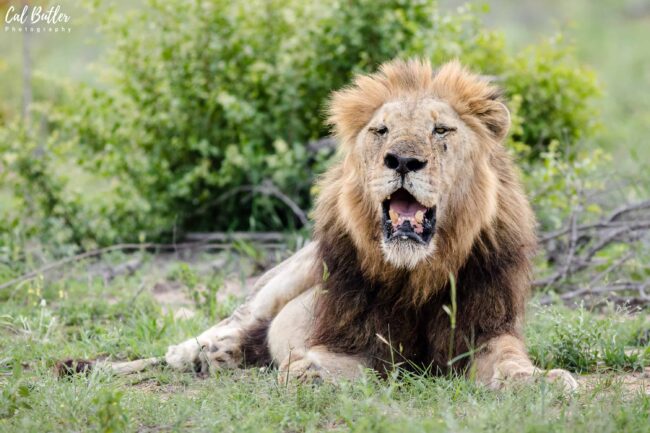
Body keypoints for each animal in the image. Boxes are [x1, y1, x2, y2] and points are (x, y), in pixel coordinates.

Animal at [163, 59, 577, 391]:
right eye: (381, 131)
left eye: (441, 130)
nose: (404, 160)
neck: (418, 275)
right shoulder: (356, 338)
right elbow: (335, 363)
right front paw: (309, 373)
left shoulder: (484, 328)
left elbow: (508, 358)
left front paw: (541, 380)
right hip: (289, 276)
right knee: (239, 318)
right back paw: (196, 352)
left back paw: (224, 355)